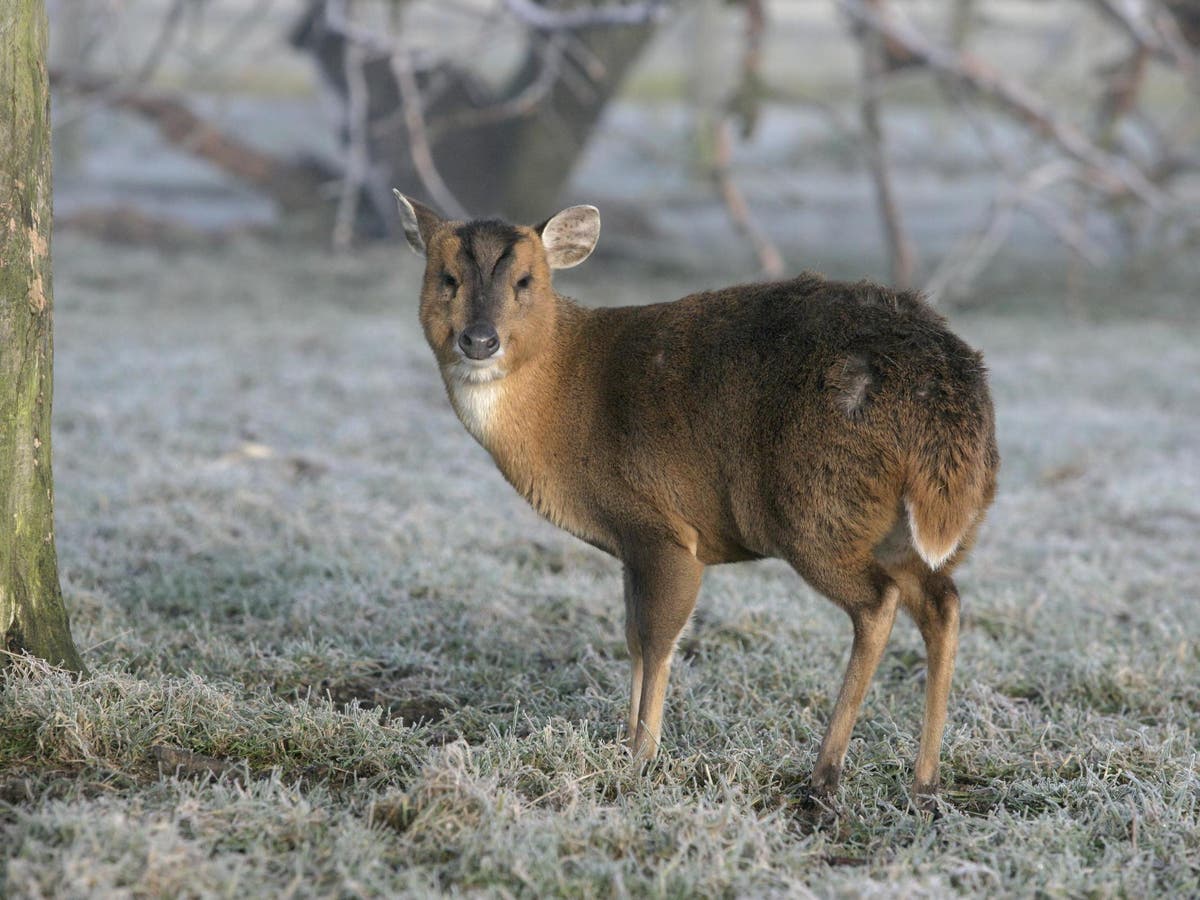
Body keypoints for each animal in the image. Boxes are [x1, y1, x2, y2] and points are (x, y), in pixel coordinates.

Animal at [393, 191, 999, 805]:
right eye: (446, 277)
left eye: (525, 280)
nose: (479, 340)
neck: (562, 402)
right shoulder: (630, 543)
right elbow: (633, 637)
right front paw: (623, 742)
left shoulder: (661, 527)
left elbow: (657, 637)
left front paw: (641, 755)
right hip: (901, 529)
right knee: (942, 600)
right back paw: (925, 779)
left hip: (818, 512)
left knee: (877, 604)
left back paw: (824, 775)